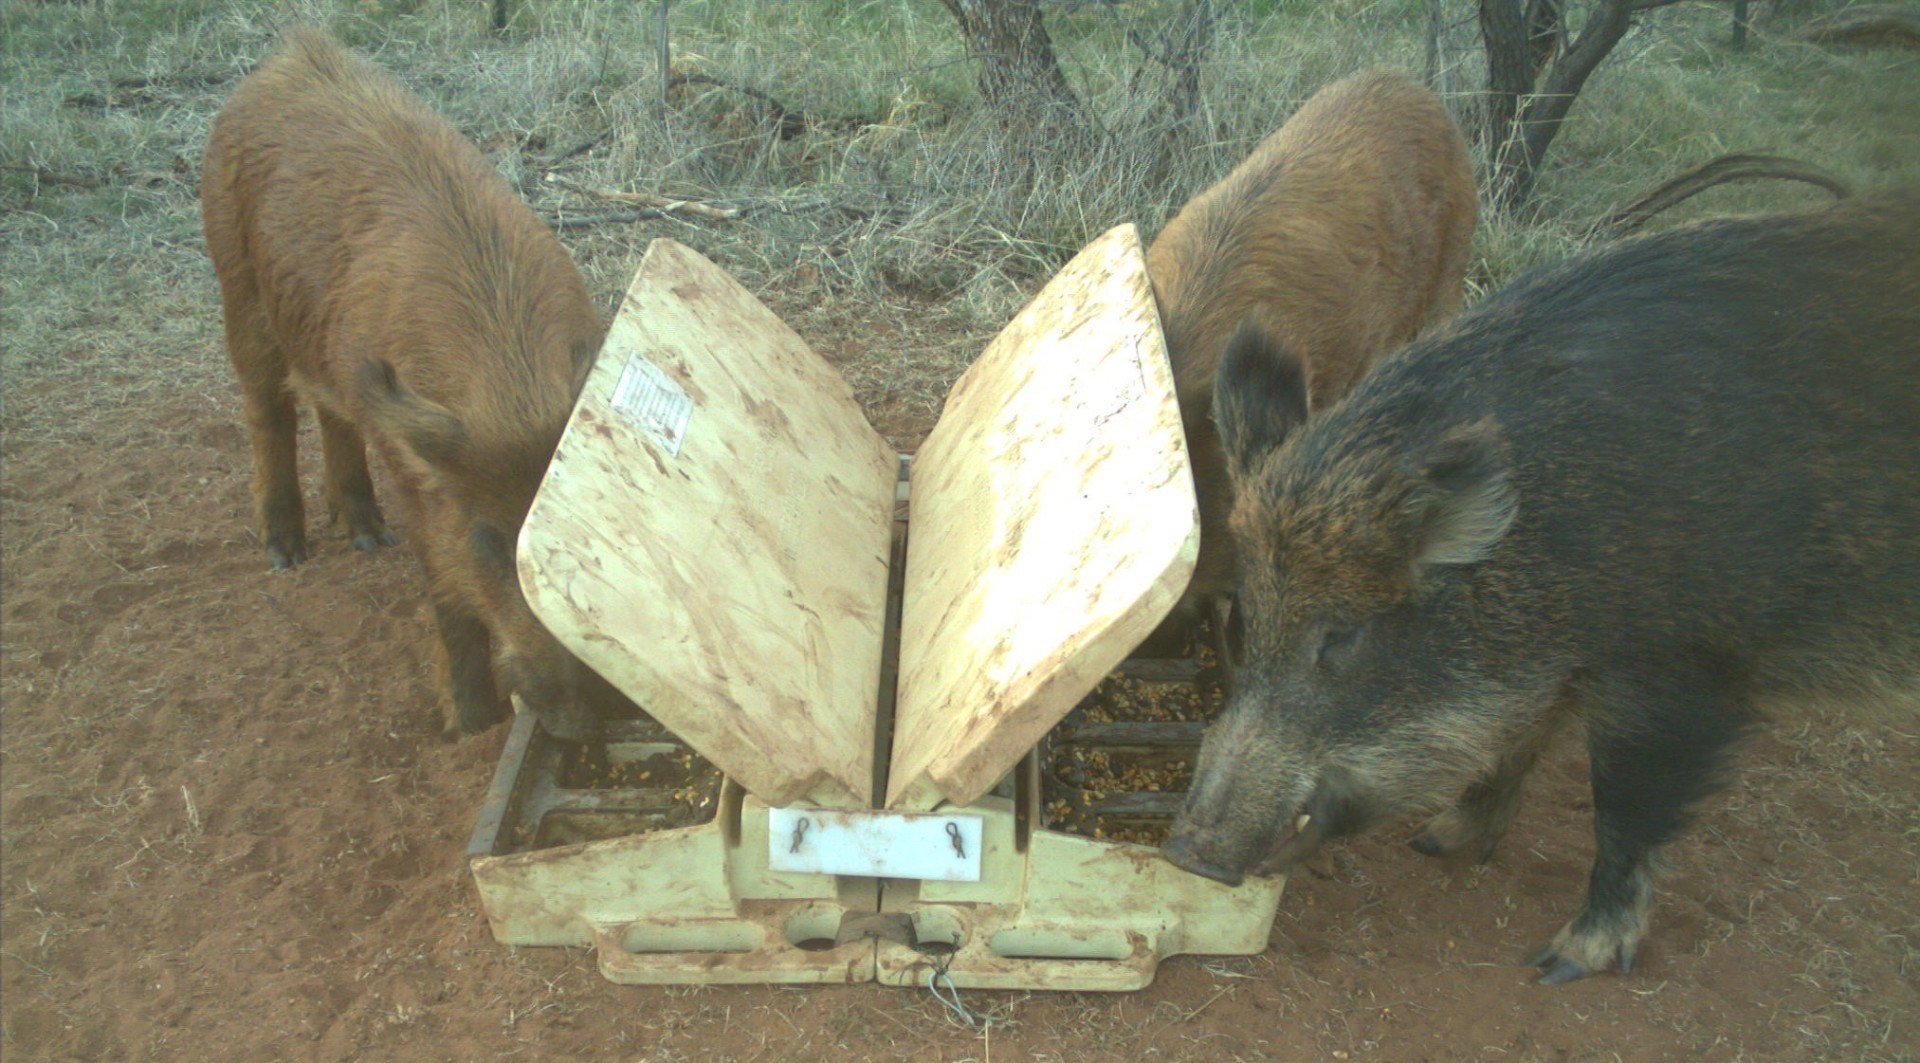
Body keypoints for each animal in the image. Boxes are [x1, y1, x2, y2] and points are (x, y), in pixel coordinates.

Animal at [200, 28, 626, 741]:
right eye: (491, 541)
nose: (585, 722)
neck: (509, 389)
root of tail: (293, 51)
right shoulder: (421, 475)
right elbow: (444, 586)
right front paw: (470, 725)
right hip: (236, 282)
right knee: (267, 411)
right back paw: (286, 553)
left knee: (330, 412)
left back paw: (368, 537)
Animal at [1161, 192, 1920, 983]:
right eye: (1248, 617)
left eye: (1343, 637)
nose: (1188, 853)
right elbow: (1519, 739)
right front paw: (1438, 840)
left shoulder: (1687, 672)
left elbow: (1626, 808)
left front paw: (1561, 963)